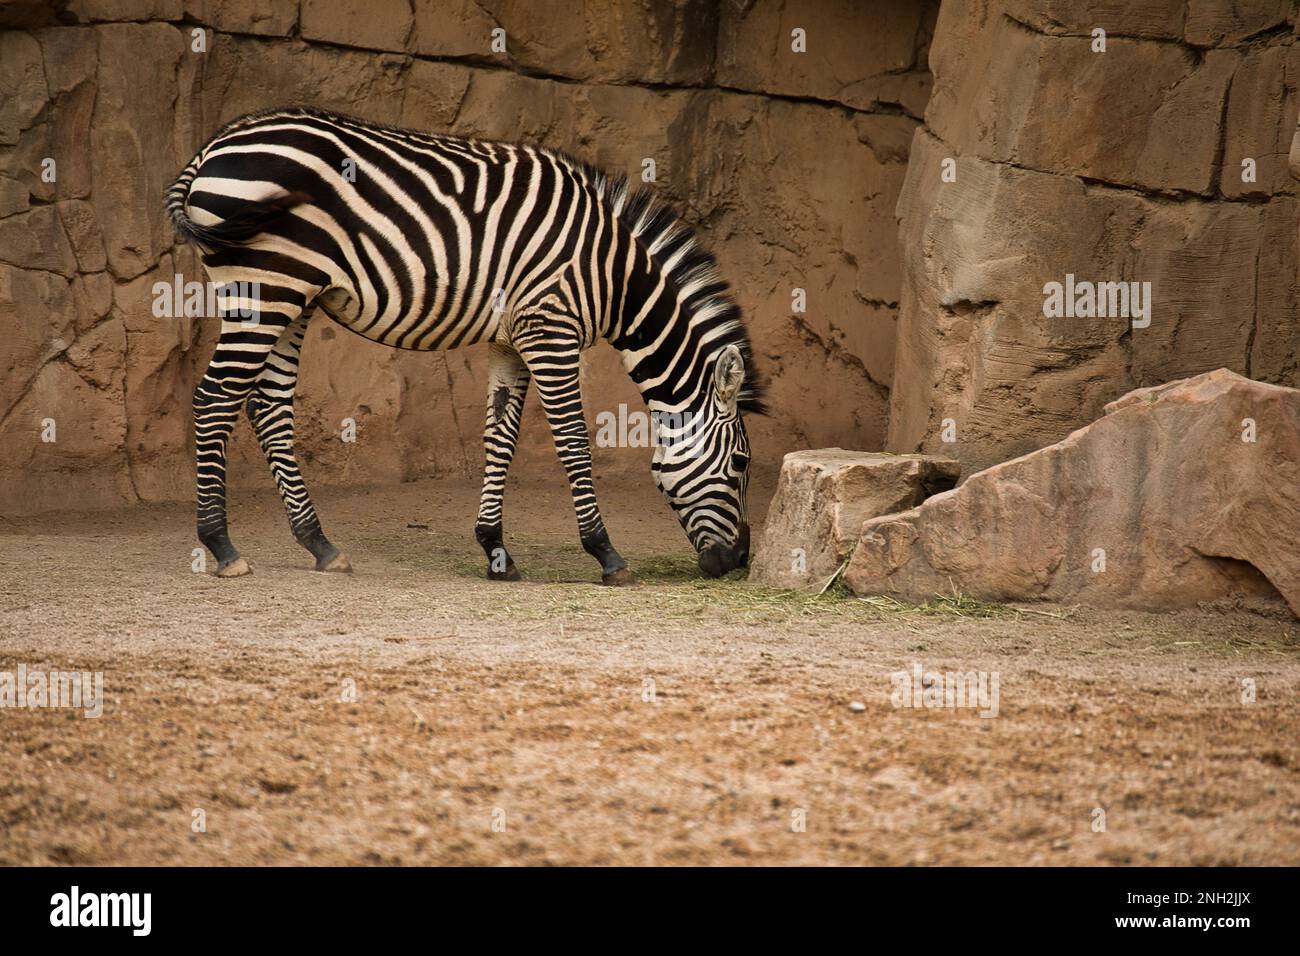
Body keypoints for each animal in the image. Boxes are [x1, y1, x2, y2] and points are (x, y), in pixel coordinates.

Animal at [166, 106, 765, 584]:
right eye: (740, 463)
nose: (740, 561)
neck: (612, 275)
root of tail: (211, 149)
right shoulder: (551, 329)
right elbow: (573, 441)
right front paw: (607, 555)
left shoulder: (512, 340)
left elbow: (499, 438)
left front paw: (496, 550)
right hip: (265, 287)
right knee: (214, 399)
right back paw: (222, 547)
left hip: (293, 297)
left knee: (269, 408)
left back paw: (320, 545)